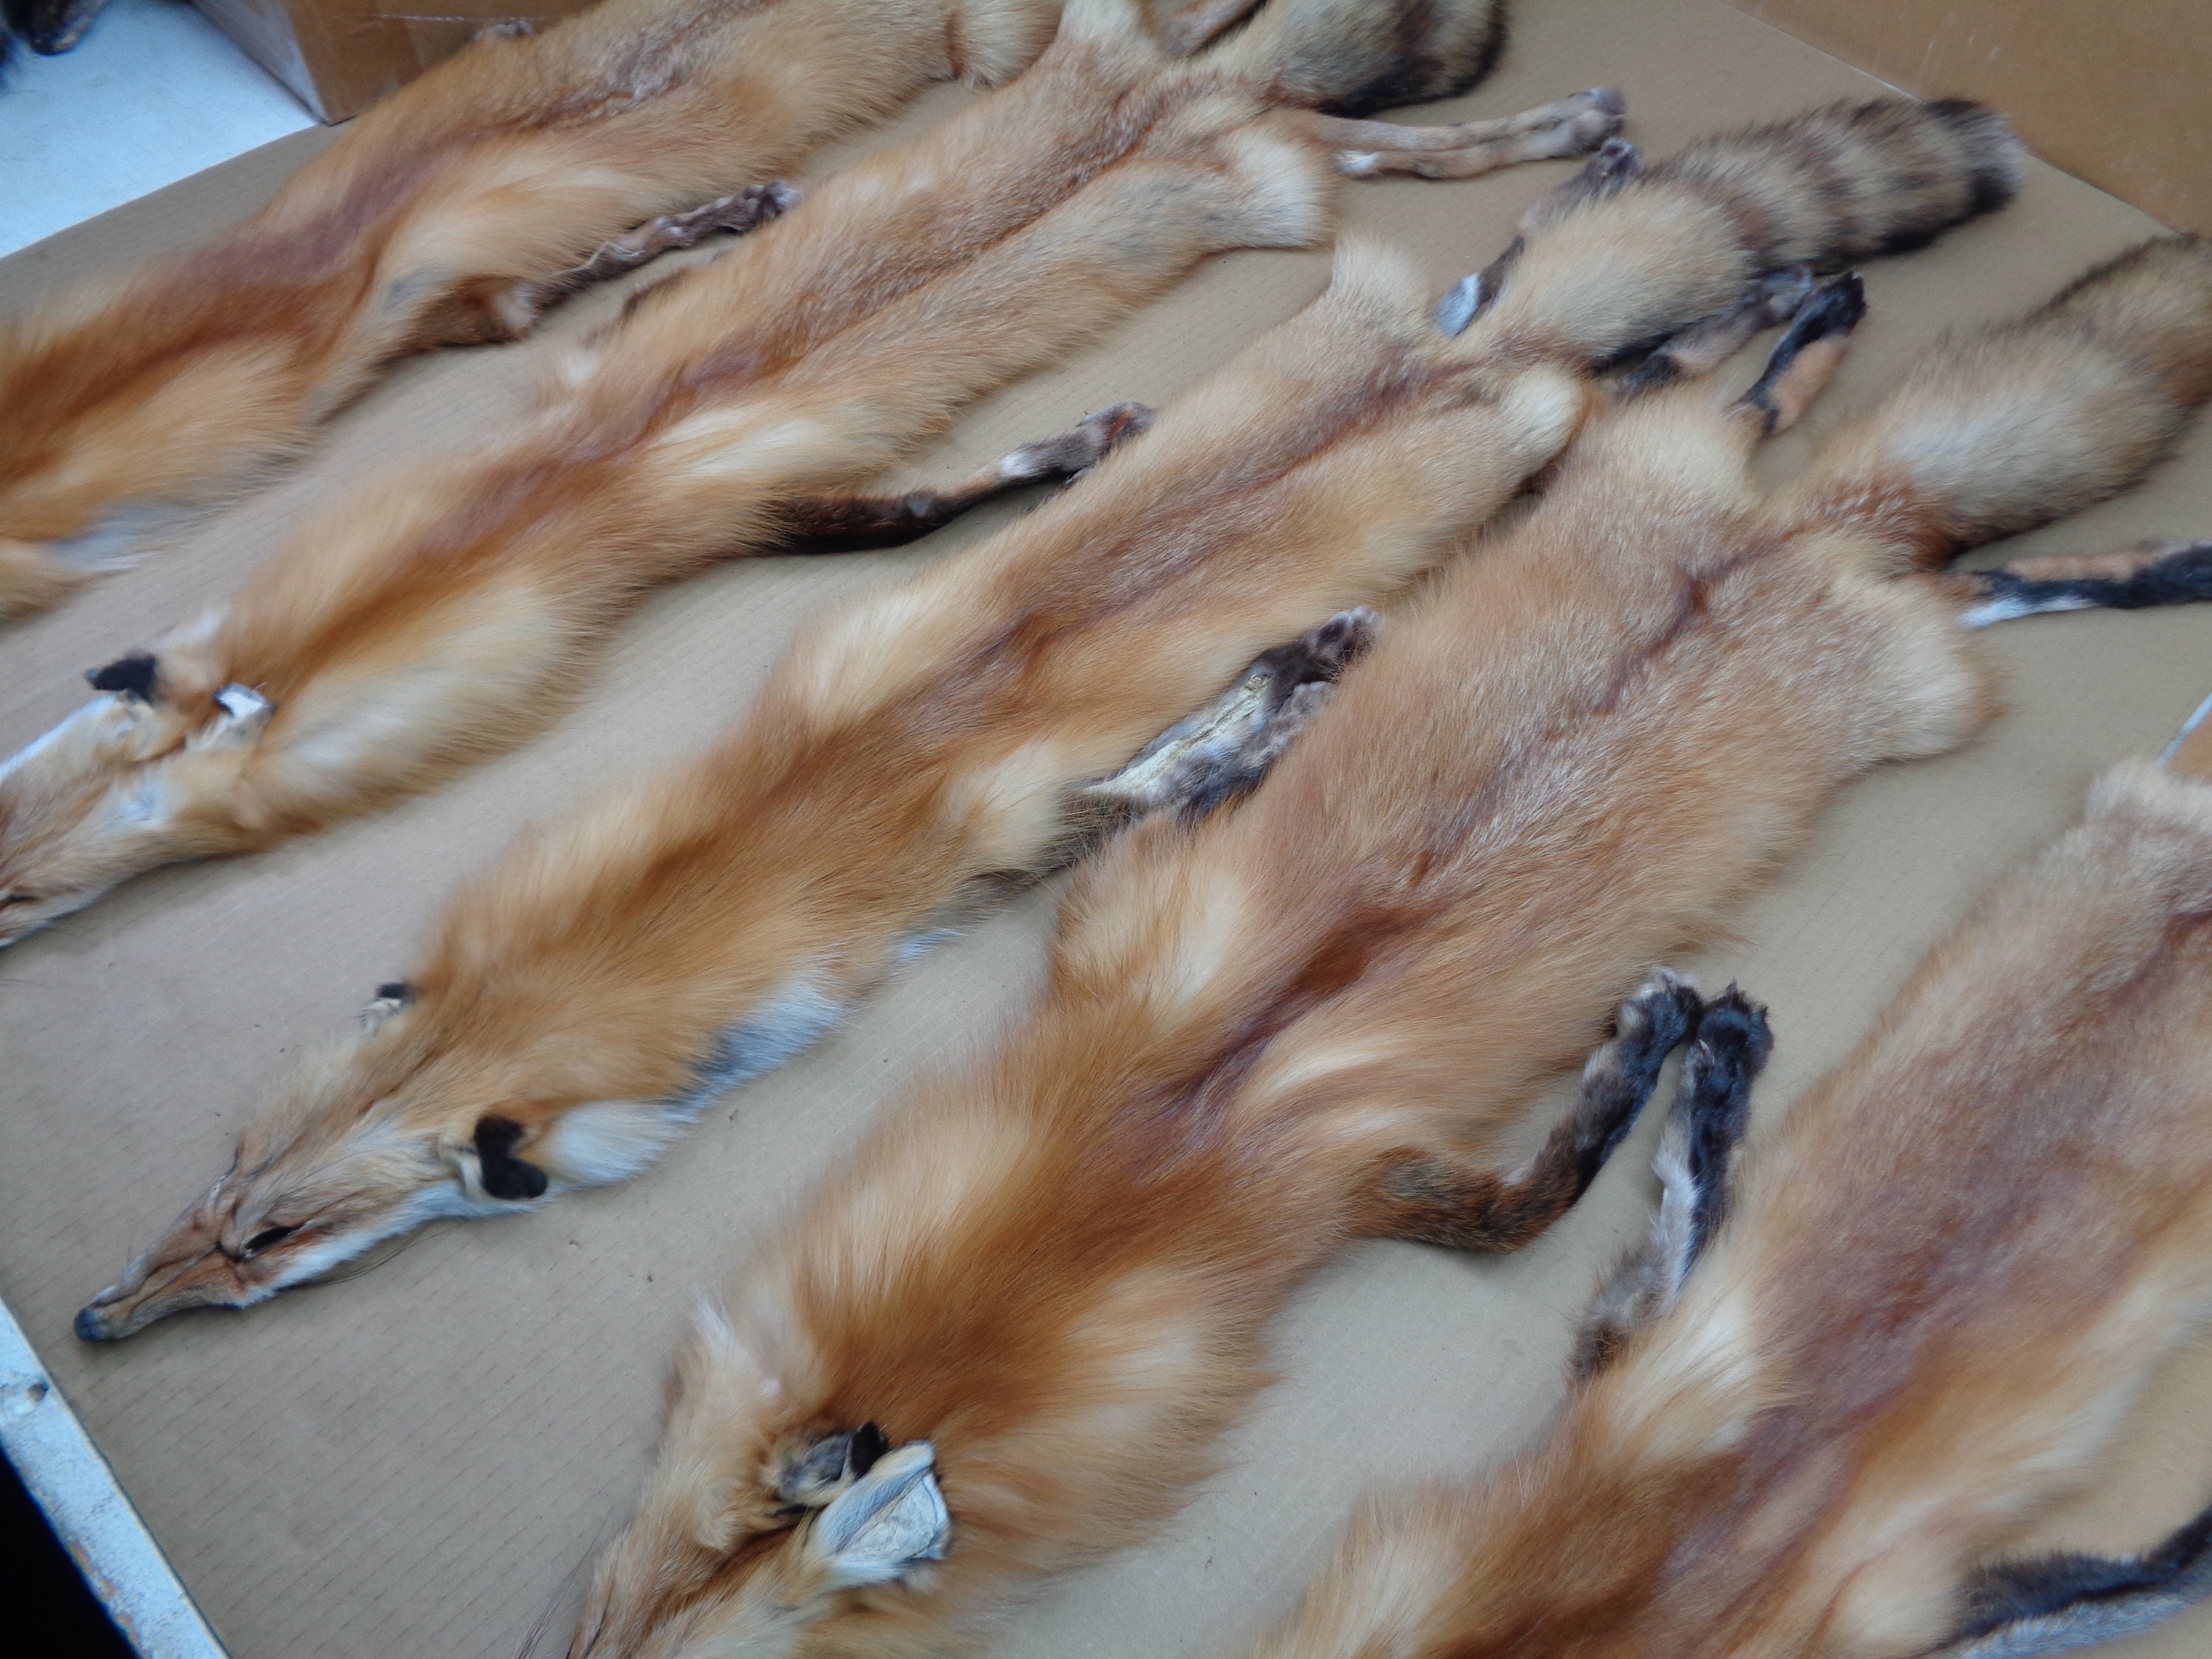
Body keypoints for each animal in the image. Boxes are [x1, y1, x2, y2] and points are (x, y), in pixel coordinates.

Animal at [0, 0, 1625, 948]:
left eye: (10, 883)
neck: (532, 505)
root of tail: (1182, 108)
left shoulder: (709, 500)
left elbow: (919, 509)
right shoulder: (630, 413)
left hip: (1241, 173)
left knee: (1372, 140)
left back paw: (1578, 152)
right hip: (1225, 144)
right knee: (1348, 125)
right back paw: (1558, 148)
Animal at [68, 95, 2030, 1344]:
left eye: (269, 1244)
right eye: (217, 1187)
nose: (94, 1315)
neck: (775, 835)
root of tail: (1460, 369)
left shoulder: (1016, 839)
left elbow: (1185, 761)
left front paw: (1299, 680)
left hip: (1532, 436)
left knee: (1629, 352)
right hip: (1509, 382)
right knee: (1612, 332)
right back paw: (1741, 289)